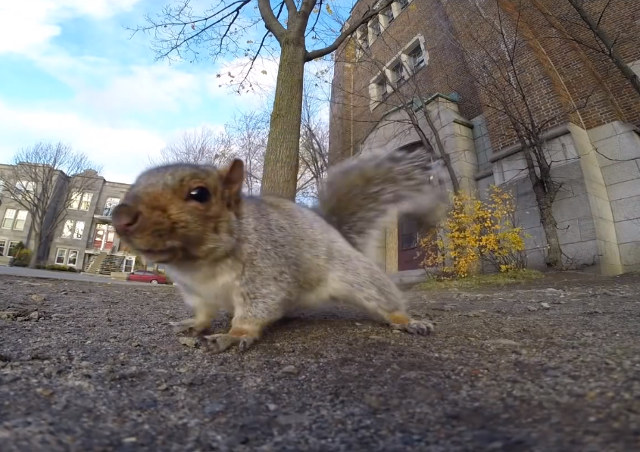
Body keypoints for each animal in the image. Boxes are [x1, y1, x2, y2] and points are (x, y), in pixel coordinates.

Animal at [112, 147, 448, 352]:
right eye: (135, 183)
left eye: (200, 194)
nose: (120, 216)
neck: (200, 265)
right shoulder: (196, 292)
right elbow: (204, 313)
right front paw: (193, 324)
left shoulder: (265, 273)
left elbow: (256, 309)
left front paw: (232, 336)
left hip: (358, 276)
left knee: (383, 299)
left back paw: (408, 321)